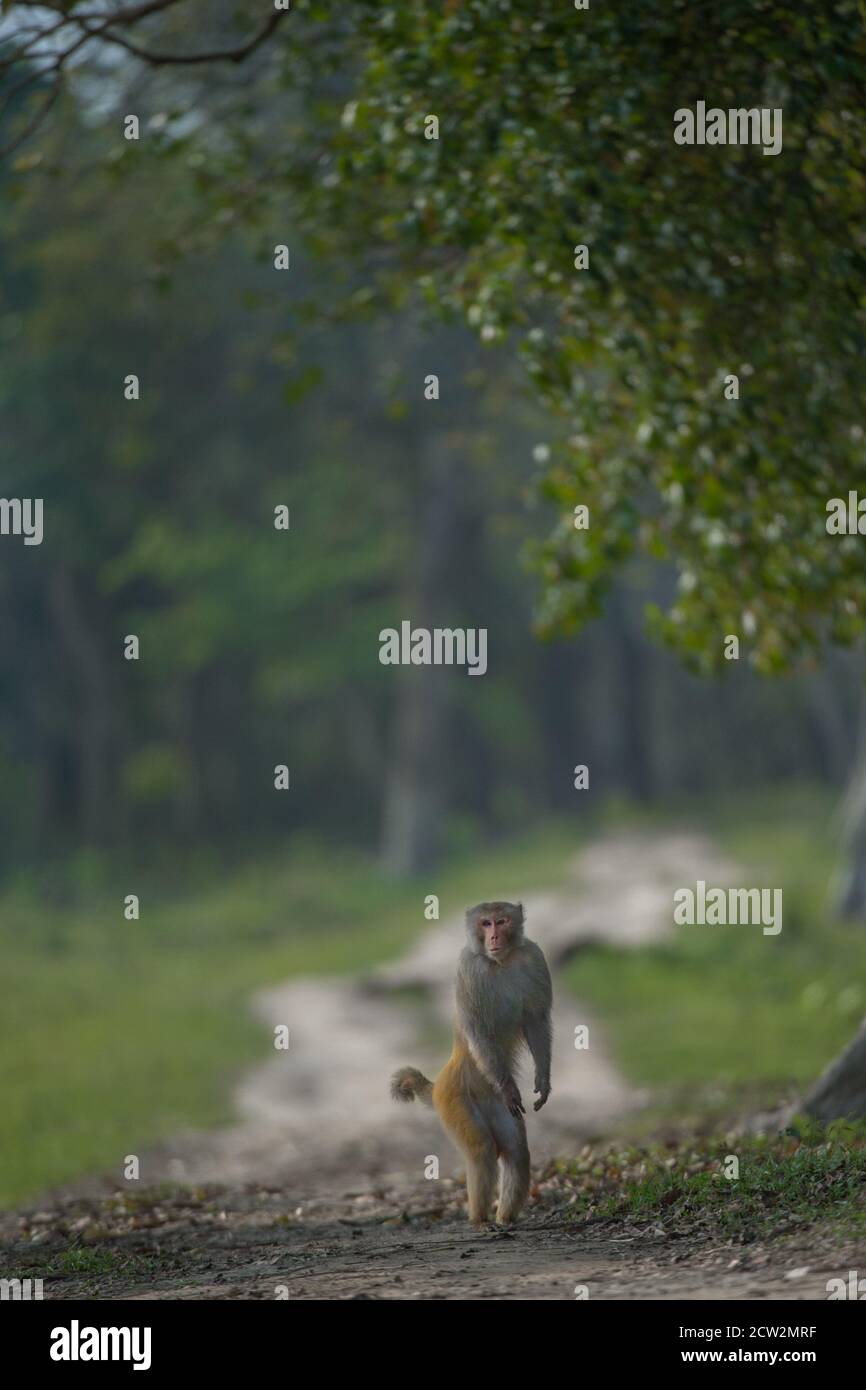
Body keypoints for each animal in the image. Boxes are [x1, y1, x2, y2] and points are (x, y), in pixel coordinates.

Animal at [391, 901, 552, 1225]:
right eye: (485, 923)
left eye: (501, 921)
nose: (493, 937)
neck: (501, 961)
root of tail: (438, 1084)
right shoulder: (469, 968)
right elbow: (478, 1031)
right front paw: (509, 1088)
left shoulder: (534, 957)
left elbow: (536, 1020)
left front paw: (543, 1080)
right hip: (453, 1100)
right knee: (481, 1149)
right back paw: (479, 1219)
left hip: (495, 1108)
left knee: (516, 1151)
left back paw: (505, 1218)